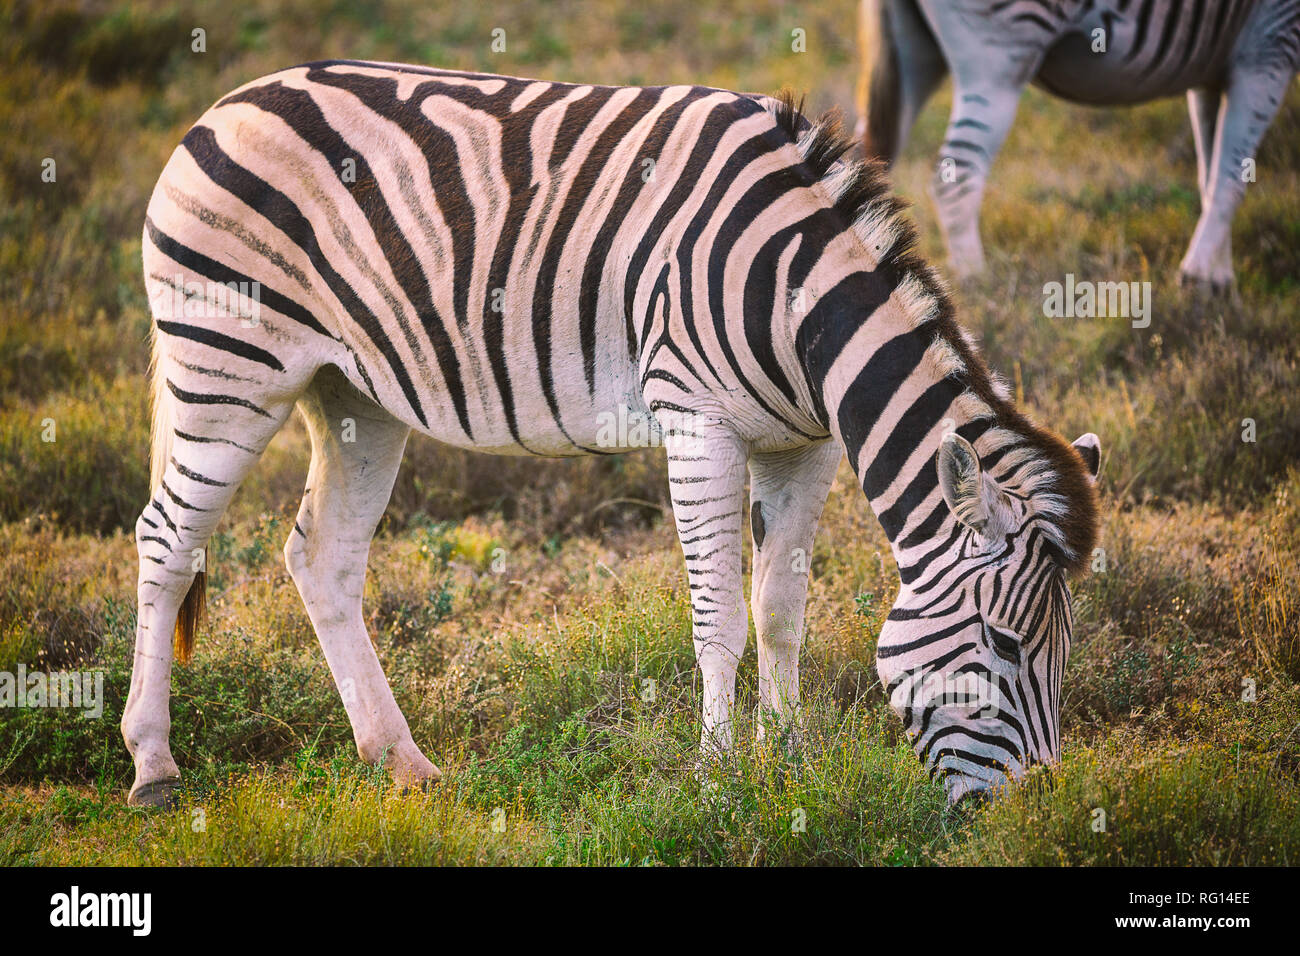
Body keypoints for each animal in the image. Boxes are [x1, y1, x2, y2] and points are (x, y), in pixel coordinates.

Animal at [123, 60, 1101, 809]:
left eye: (1062, 648)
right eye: (1006, 645)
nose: (1033, 814)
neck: (799, 302)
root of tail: (225, 103)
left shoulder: (806, 442)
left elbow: (781, 610)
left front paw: (789, 761)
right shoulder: (697, 418)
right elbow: (720, 616)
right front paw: (718, 776)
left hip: (351, 394)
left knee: (320, 556)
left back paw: (403, 765)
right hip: (228, 363)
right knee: (166, 541)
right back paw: (154, 769)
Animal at [855, 0, 1300, 290]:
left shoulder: (1211, 74)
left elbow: (1212, 172)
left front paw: (1219, 279)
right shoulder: (1270, 47)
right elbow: (1231, 177)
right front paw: (1200, 281)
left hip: (917, 51)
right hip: (1001, 51)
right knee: (956, 177)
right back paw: (976, 279)